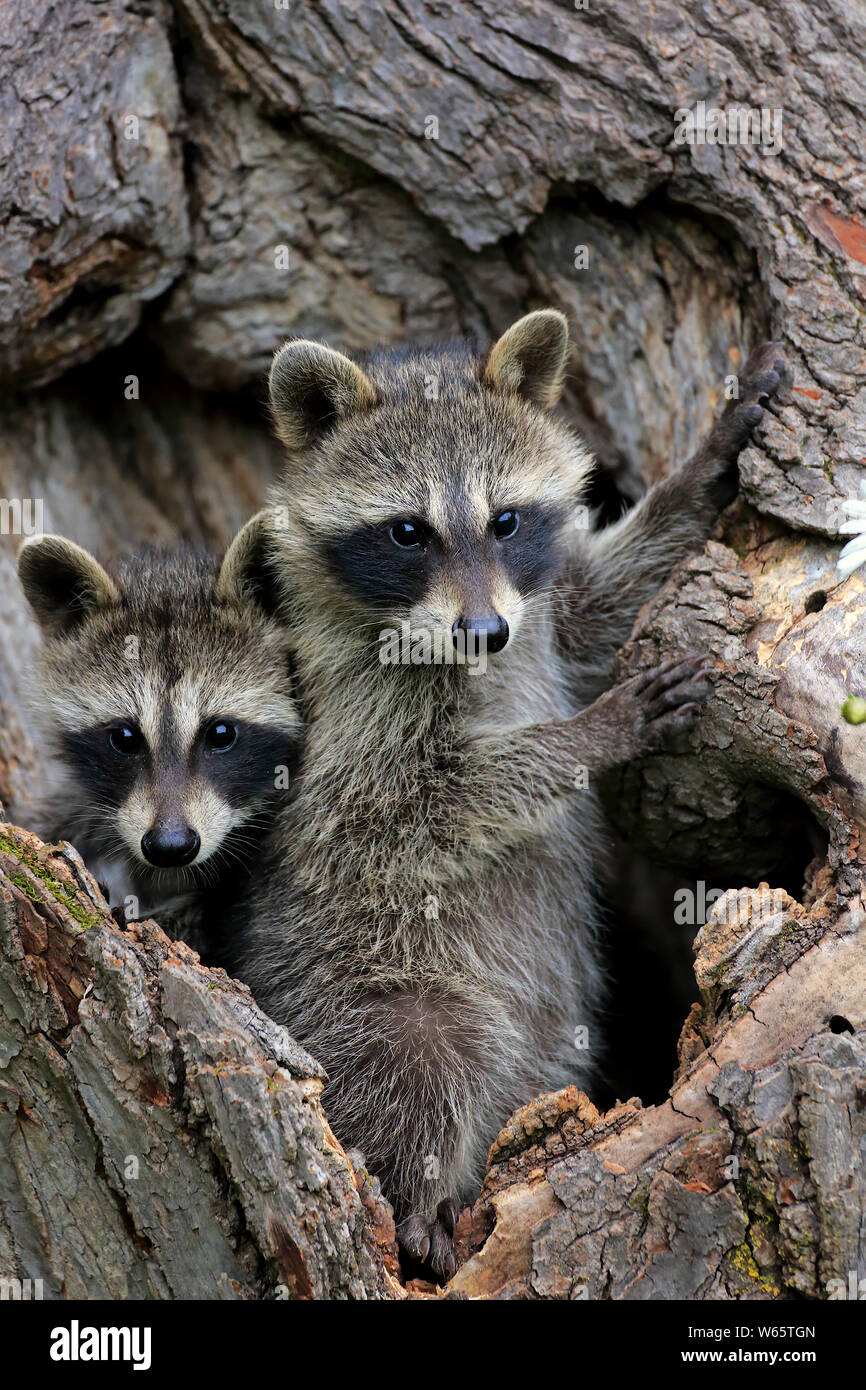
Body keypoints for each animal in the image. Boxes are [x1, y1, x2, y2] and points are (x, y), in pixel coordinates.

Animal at [235, 313, 784, 1277]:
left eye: (505, 520)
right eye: (407, 531)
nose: (486, 631)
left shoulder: (542, 609)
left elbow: (604, 595)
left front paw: (706, 465)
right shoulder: (354, 720)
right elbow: (406, 811)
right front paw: (589, 734)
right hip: (361, 983)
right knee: (414, 1067)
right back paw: (416, 1201)